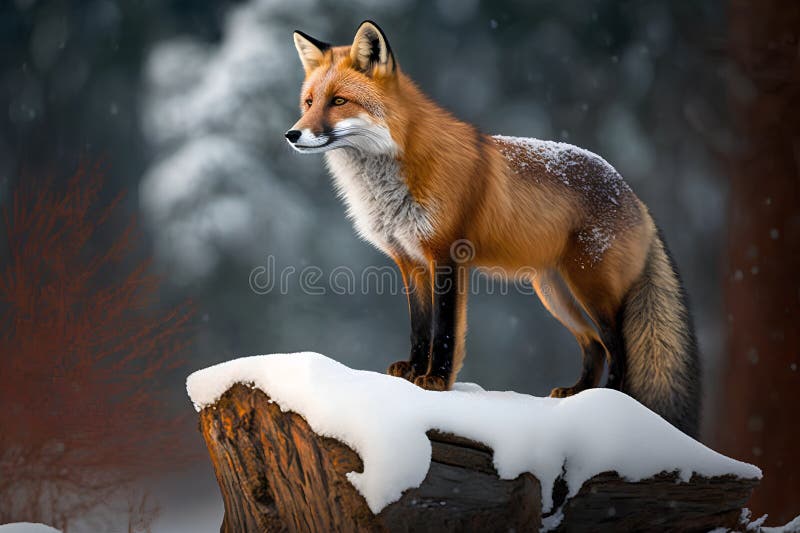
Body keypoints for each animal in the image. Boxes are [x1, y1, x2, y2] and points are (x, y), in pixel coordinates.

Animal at [286, 21, 701, 437]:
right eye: (309, 102)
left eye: (339, 101)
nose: (292, 134)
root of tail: (633, 194)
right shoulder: (409, 261)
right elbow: (420, 326)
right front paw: (412, 373)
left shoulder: (447, 255)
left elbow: (445, 330)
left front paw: (435, 381)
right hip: (554, 292)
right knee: (595, 346)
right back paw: (578, 394)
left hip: (592, 289)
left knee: (618, 349)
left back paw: (610, 403)